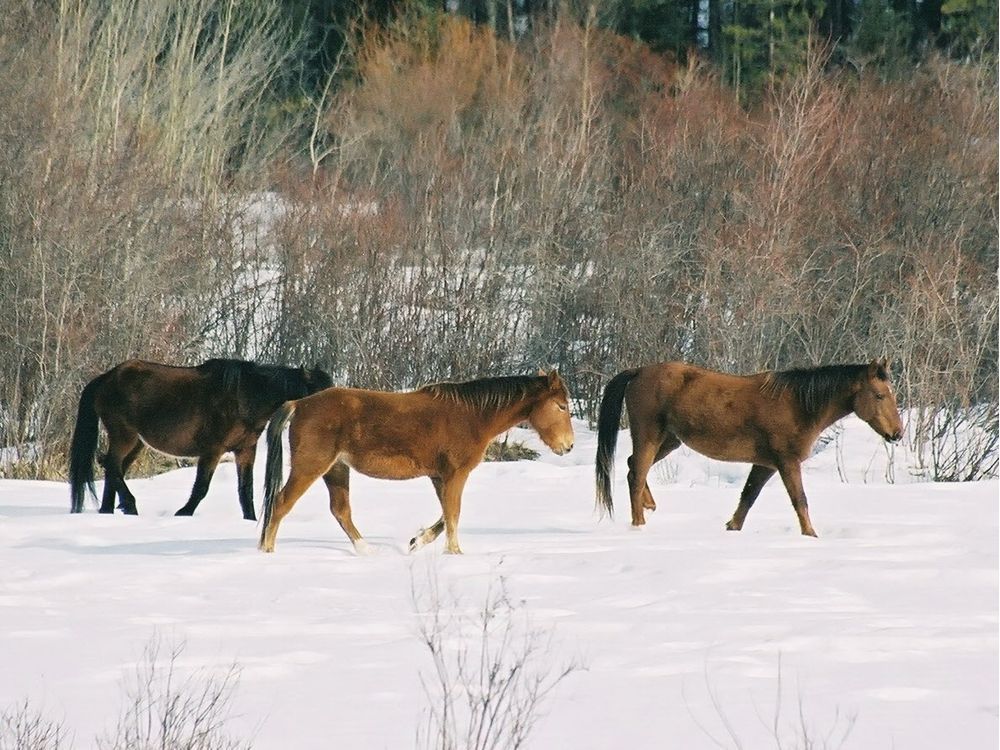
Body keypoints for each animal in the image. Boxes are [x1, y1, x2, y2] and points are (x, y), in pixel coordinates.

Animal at [69, 358, 333, 519]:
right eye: (319, 392)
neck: (245, 396)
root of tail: (107, 377)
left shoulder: (246, 450)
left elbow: (245, 489)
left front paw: (250, 519)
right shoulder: (212, 450)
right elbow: (201, 487)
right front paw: (183, 513)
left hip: (135, 442)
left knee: (113, 469)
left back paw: (108, 510)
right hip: (124, 434)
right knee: (112, 465)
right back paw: (129, 505)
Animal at [258, 371, 574, 555]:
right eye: (561, 406)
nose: (568, 445)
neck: (472, 417)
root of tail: (299, 404)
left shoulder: (439, 477)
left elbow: (445, 516)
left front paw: (418, 541)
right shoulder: (455, 474)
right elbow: (453, 514)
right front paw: (455, 553)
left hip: (336, 469)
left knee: (340, 510)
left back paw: (366, 550)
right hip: (311, 466)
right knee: (281, 503)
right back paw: (267, 550)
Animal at [595, 359, 903, 537]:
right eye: (879, 395)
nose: (897, 434)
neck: (799, 405)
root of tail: (638, 372)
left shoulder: (765, 465)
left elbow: (748, 498)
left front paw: (732, 528)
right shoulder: (787, 461)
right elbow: (800, 500)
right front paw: (811, 535)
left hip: (670, 440)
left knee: (633, 466)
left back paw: (649, 506)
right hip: (649, 435)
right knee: (636, 474)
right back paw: (639, 524)